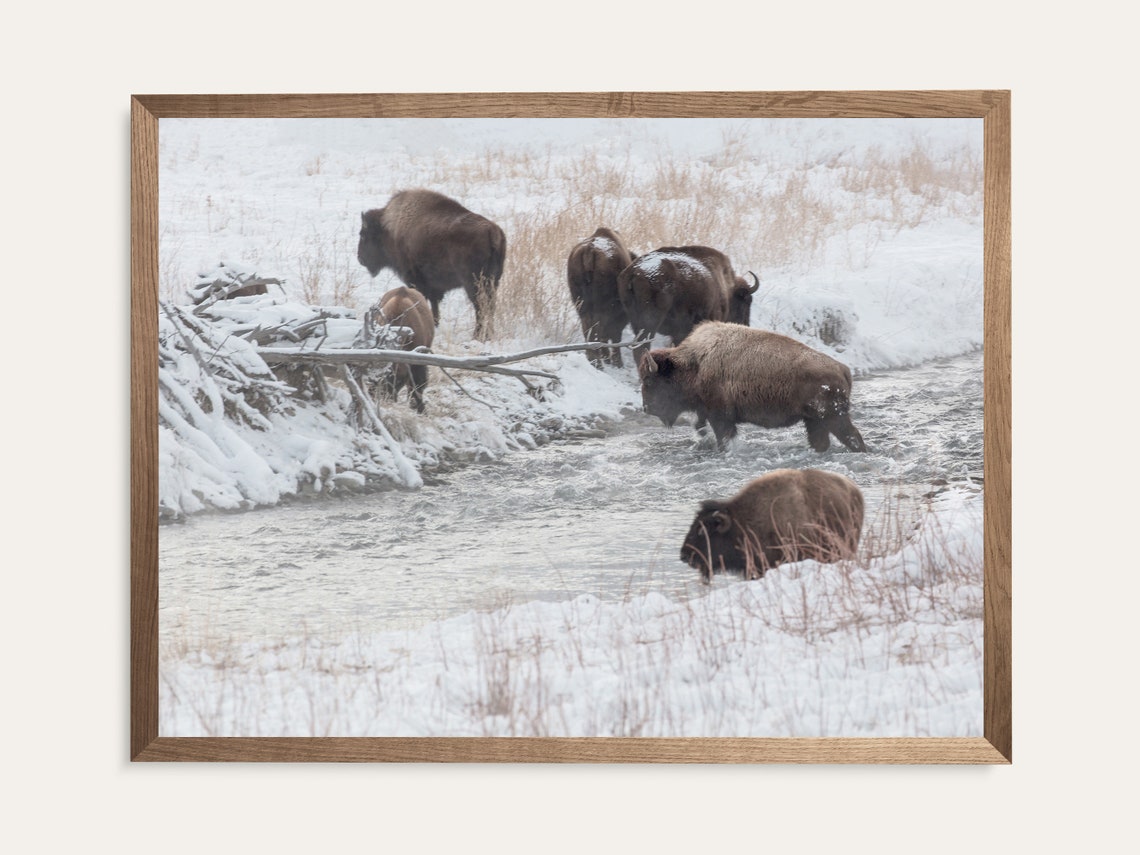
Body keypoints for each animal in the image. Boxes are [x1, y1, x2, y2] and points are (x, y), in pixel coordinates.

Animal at [357, 189, 506, 340]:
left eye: (363, 235)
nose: (360, 258)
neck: (389, 228)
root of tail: (492, 232)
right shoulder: (434, 288)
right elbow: (435, 304)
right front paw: (435, 323)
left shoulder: (415, 281)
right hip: (493, 281)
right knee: (489, 306)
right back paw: (489, 335)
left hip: (473, 284)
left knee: (481, 307)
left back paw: (477, 336)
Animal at [566, 227, 637, 368]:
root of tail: (590, 250)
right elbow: (615, 335)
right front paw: (616, 362)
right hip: (601, 308)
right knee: (598, 330)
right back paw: (600, 362)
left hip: (582, 305)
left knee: (588, 328)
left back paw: (594, 360)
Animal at [618, 245, 759, 365]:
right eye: (746, 301)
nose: (746, 324)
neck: (726, 288)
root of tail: (634, 272)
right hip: (649, 325)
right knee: (641, 348)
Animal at [638, 321, 867, 452]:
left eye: (649, 381)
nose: (646, 408)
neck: (694, 364)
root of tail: (842, 369)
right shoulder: (706, 414)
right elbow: (700, 426)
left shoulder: (720, 418)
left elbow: (723, 437)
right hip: (814, 421)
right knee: (823, 441)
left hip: (833, 417)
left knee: (852, 437)